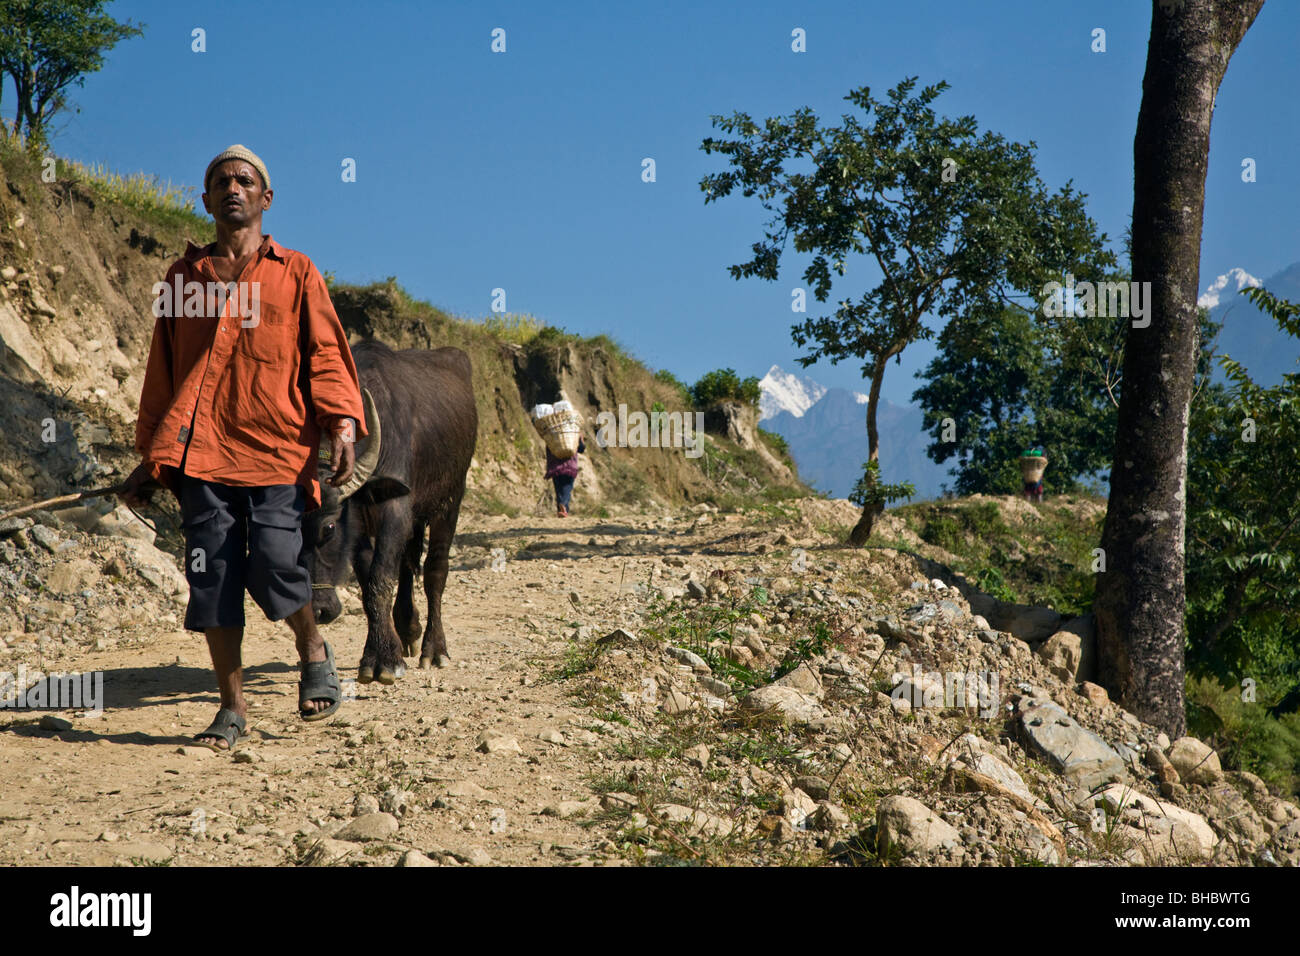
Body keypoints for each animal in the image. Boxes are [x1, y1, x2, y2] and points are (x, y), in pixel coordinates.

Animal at [304, 340, 477, 683]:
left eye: (329, 527)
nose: (318, 611)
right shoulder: (360, 523)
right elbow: (369, 578)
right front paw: (383, 650)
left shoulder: (395, 511)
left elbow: (380, 579)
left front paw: (383, 660)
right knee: (408, 564)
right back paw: (407, 630)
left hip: (450, 499)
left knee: (435, 571)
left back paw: (434, 649)